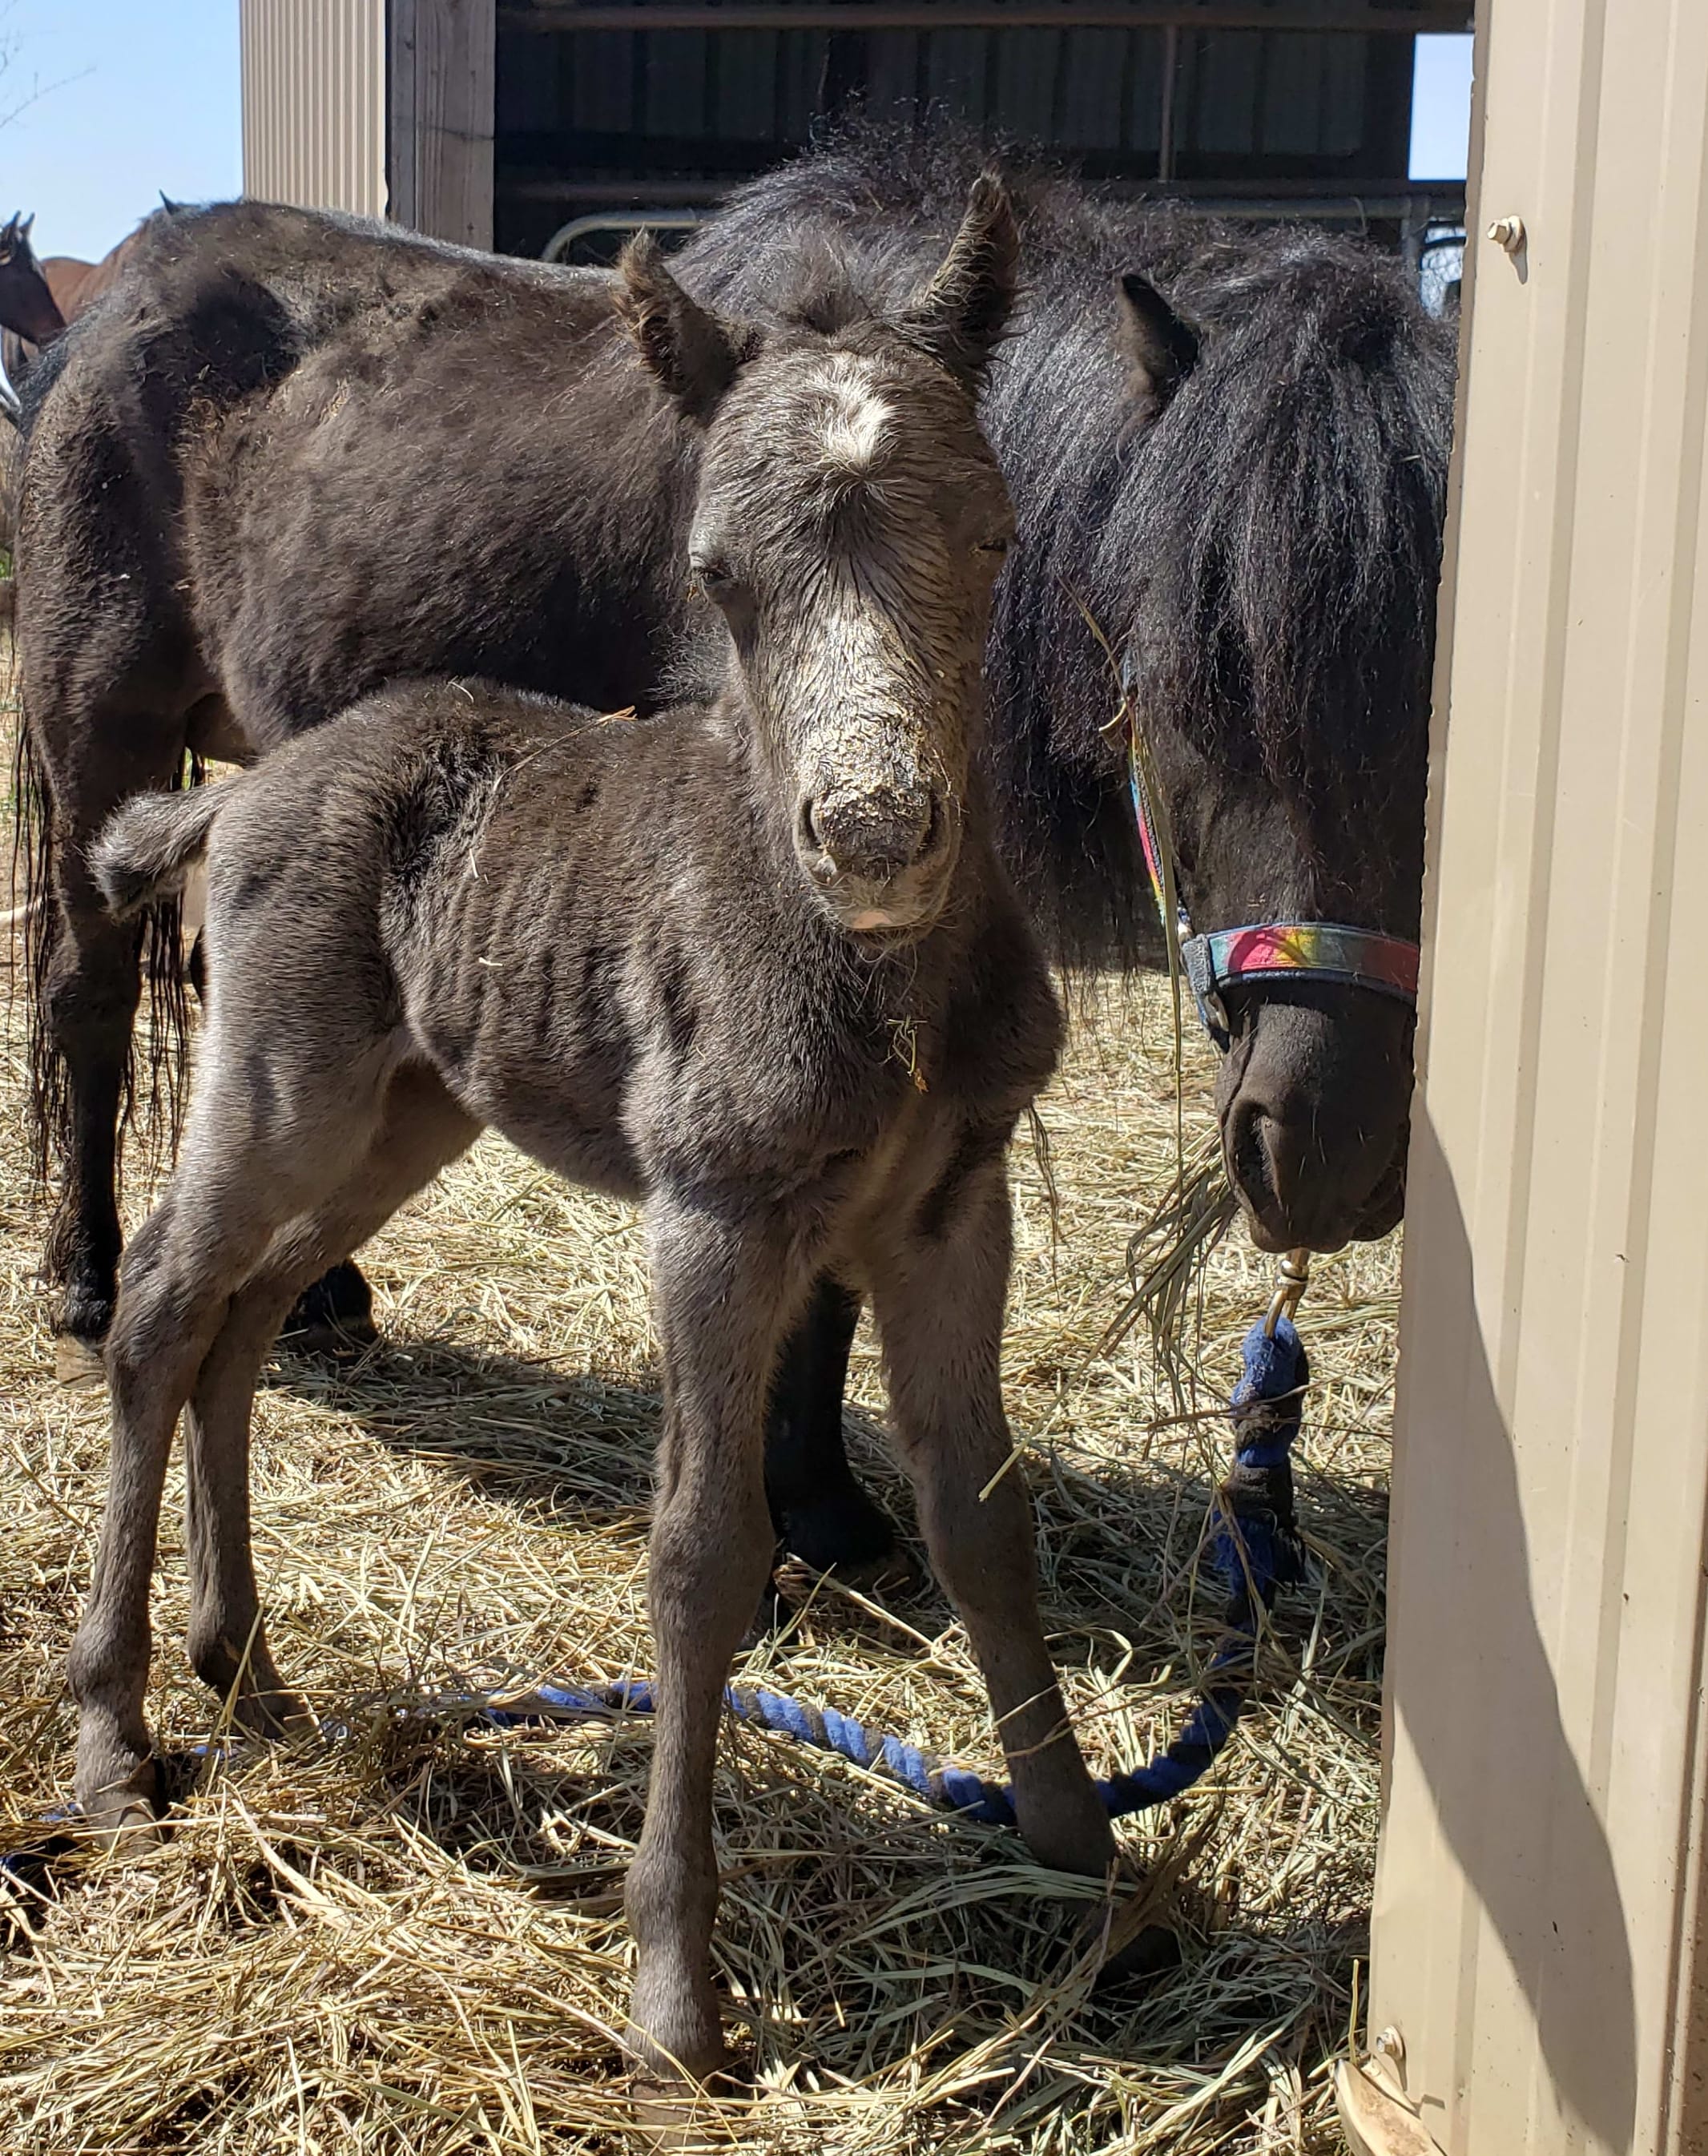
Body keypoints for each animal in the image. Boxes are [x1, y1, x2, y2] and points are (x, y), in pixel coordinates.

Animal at [14, 128, 1451, 1567]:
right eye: (1184, 673)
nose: (1324, 1152)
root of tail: (104, 302)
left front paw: (823, 1499)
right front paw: (802, 1507)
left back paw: (320, 1293)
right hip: (99, 732)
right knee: (90, 999)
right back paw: (87, 1280)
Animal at [69, 185, 1131, 2089]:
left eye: (1000, 537)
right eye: (713, 575)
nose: (877, 834)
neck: (877, 980)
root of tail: (243, 789)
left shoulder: (954, 1200)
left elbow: (982, 1510)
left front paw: (1084, 1859)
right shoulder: (715, 1209)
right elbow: (705, 1556)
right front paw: (674, 1991)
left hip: (404, 1111)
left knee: (247, 1316)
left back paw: (238, 1658)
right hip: (282, 1078)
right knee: (167, 1305)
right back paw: (116, 1734)